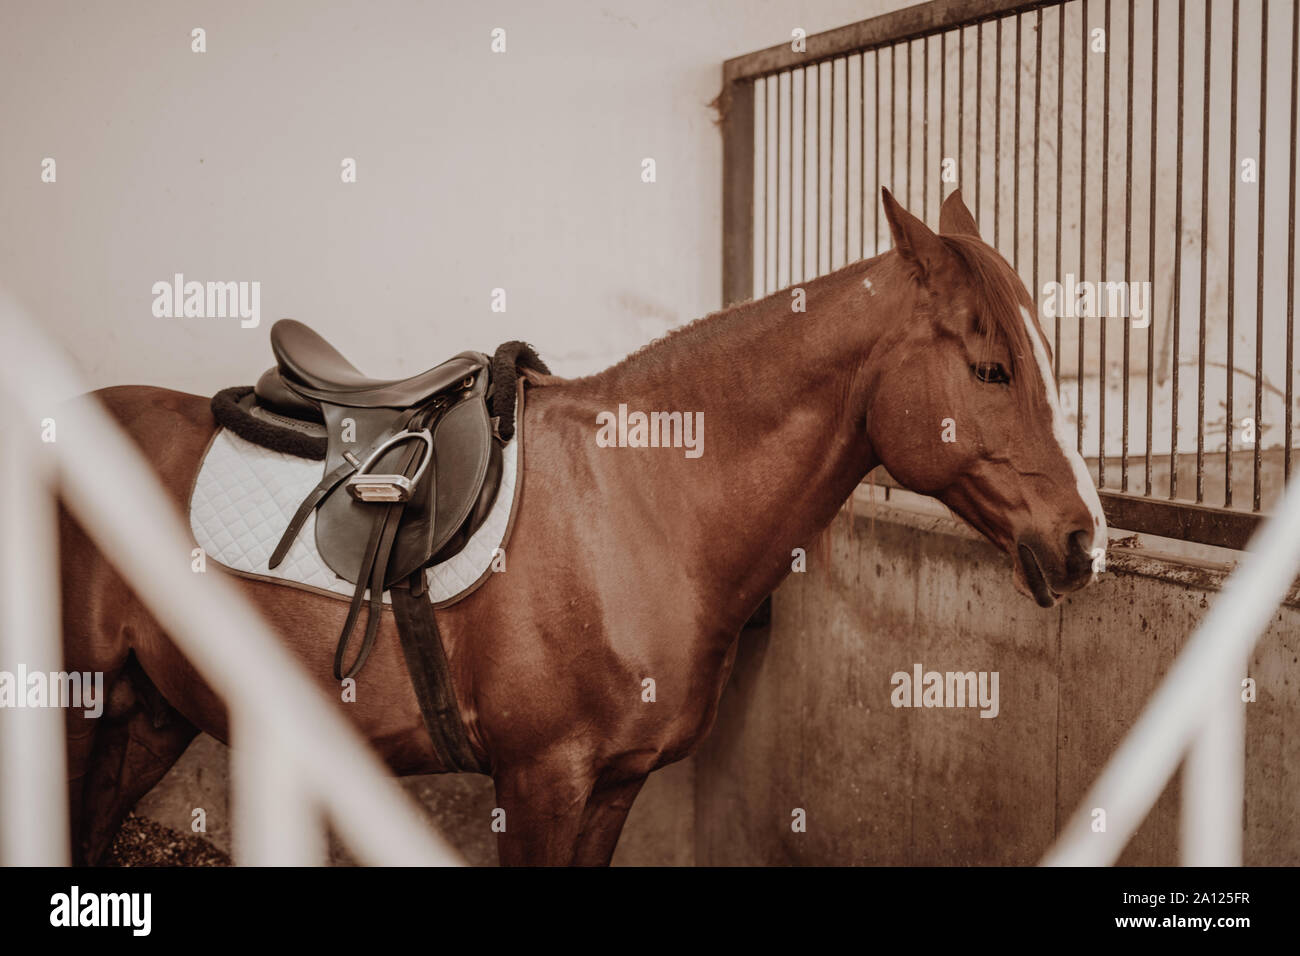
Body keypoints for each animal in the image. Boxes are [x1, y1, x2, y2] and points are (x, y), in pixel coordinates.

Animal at [60, 188, 1105, 866]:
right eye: (992, 370)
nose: (1084, 541)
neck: (643, 509)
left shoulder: (613, 787)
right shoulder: (540, 783)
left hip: (151, 710)